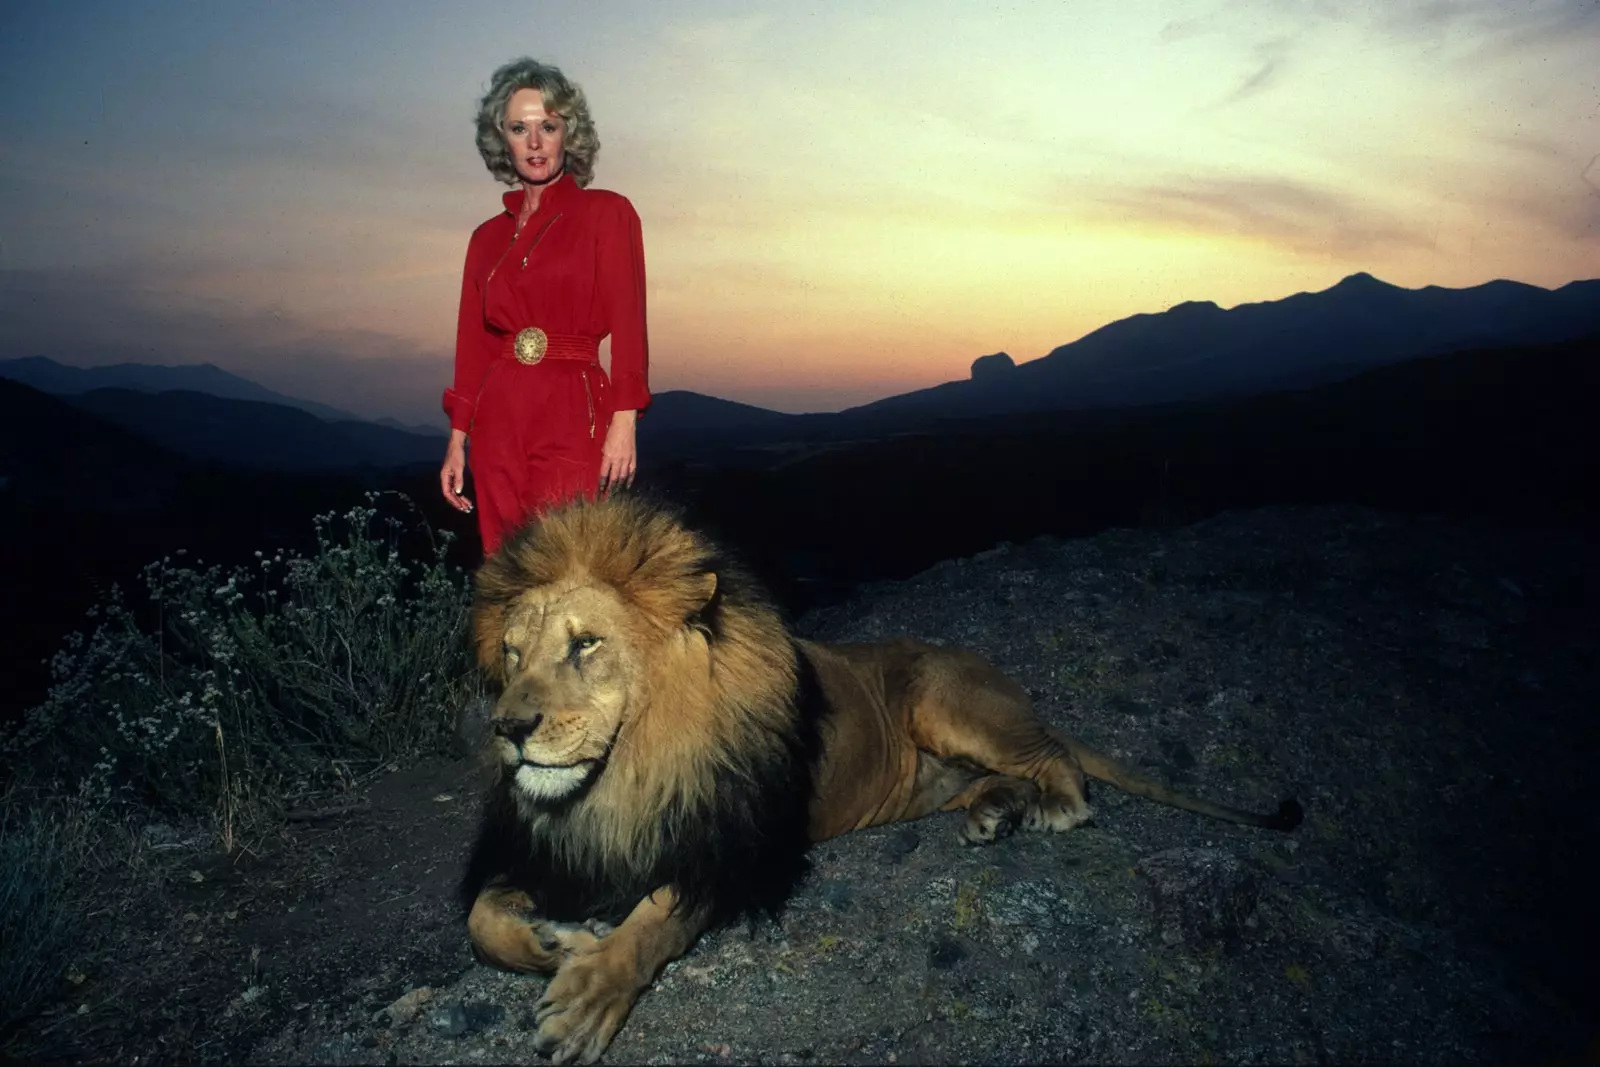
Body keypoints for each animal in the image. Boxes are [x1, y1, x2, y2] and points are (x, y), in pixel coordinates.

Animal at [460, 495, 1299, 1062]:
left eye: (587, 644)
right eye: (512, 652)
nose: (508, 728)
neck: (625, 773)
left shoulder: (740, 850)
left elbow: (652, 921)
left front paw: (589, 991)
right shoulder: (553, 851)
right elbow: (482, 918)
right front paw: (552, 940)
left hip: (944, 698)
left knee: (1052, 757)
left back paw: (1056, 805)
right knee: (997, 778)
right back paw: (996, 812)